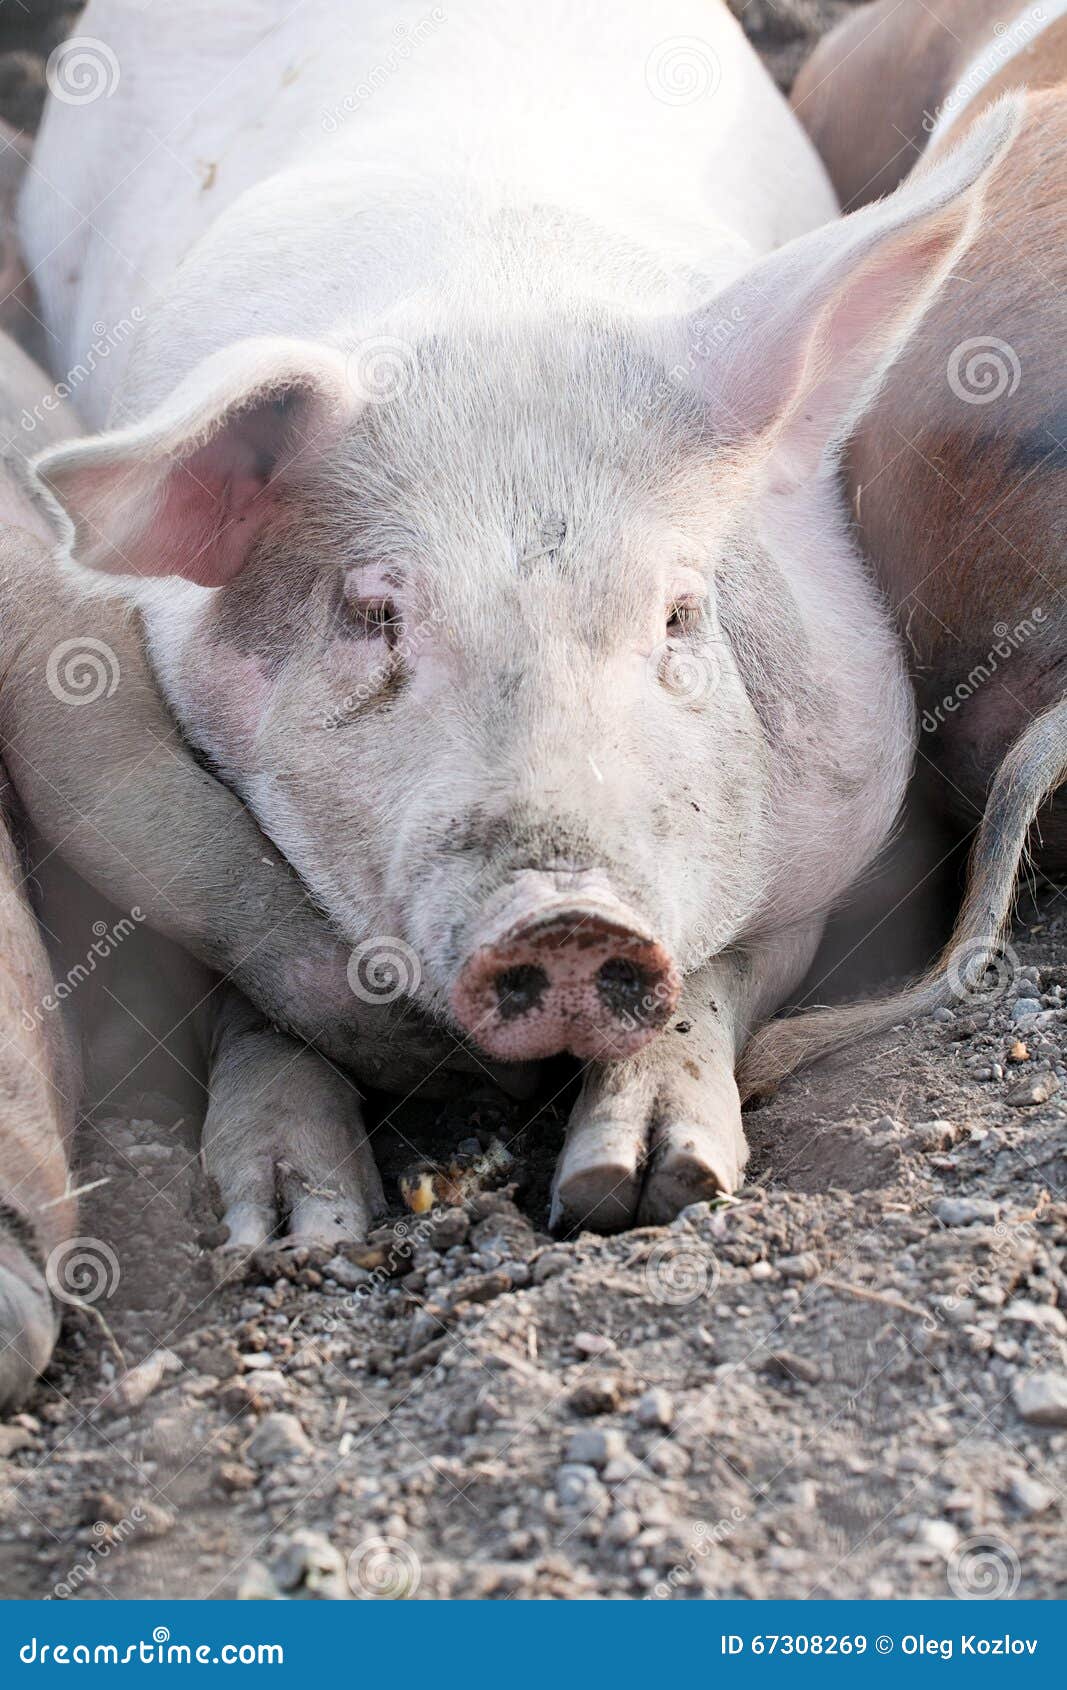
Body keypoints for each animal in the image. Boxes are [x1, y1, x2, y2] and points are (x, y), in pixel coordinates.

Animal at [21, 0, 1016, 1233]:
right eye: (373, 613)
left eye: (678, 613)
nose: (565, 916)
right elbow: (266, 987)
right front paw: (294, 1229)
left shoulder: (832, 839)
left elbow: (714, 982)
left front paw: (645, 1186)